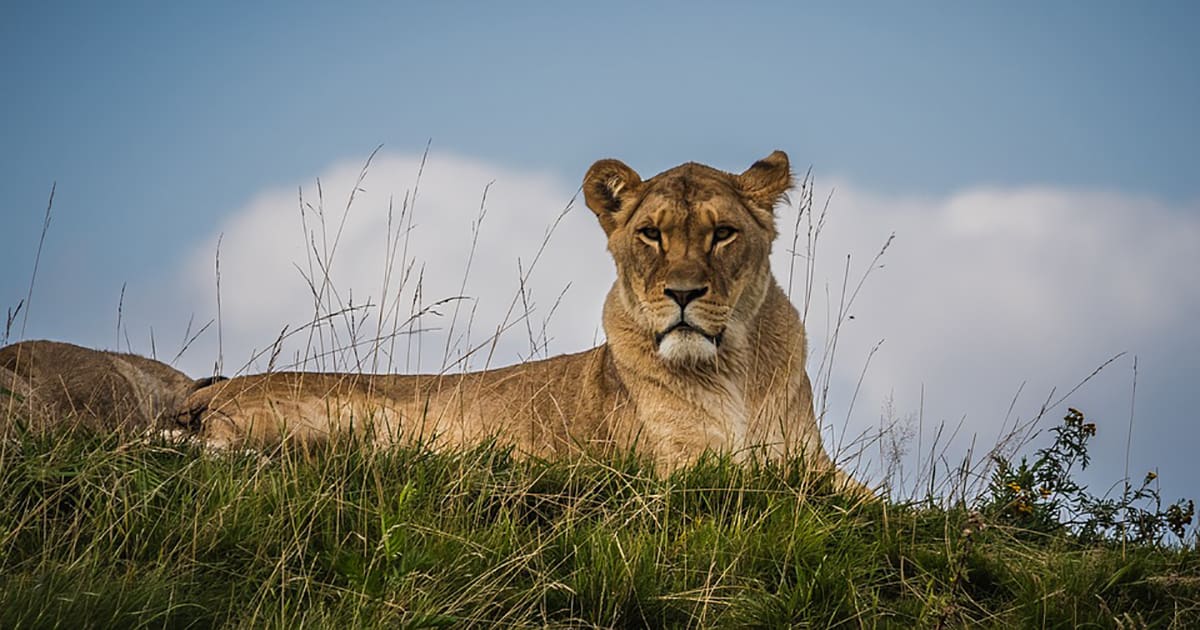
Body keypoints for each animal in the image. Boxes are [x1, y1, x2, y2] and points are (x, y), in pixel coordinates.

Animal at [178, 152, 867, 493]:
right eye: (650, 234)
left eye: (723, 234)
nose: (682, 293)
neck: (730, 370)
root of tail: (212, 390)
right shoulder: (682, 469)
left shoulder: (812, 465)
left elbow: (877, 503)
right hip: (351, 422)